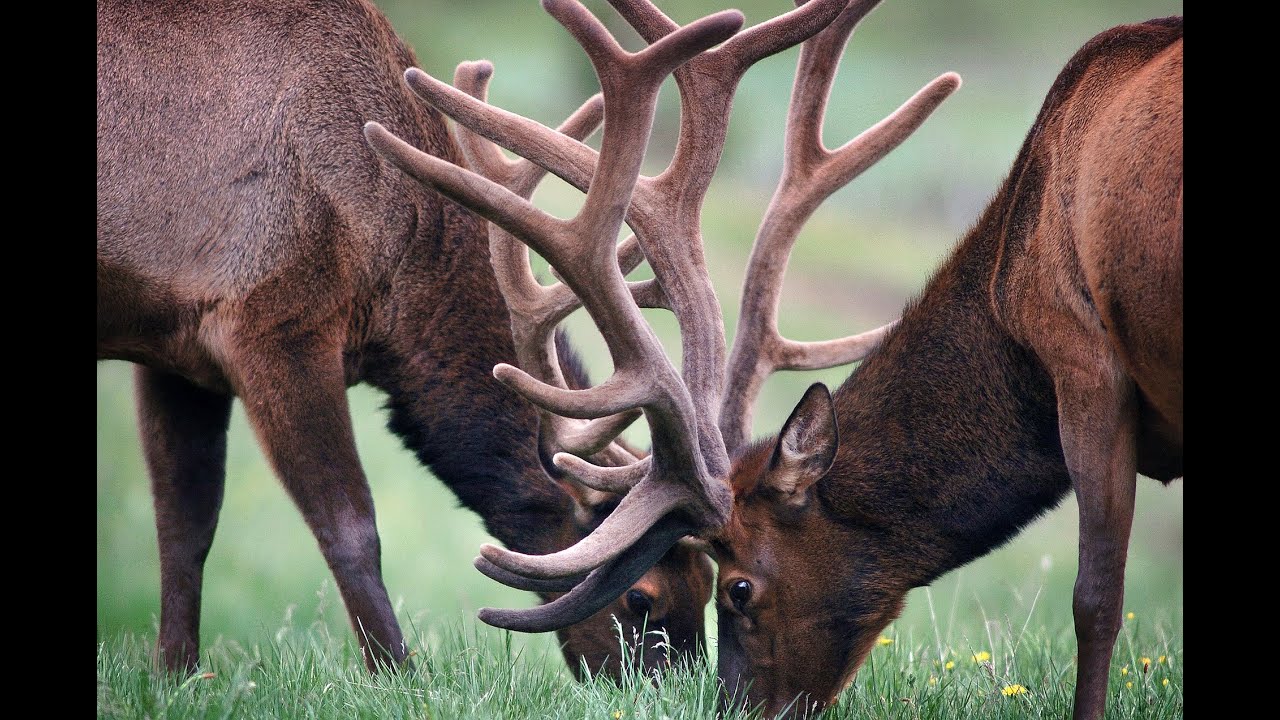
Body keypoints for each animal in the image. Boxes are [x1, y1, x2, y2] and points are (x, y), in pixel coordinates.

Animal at [96, 0, 733, 681]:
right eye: (642, 598)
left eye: (707, 581)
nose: (676, 690)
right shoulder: (270, 321)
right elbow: (350, 527)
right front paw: (397, 674)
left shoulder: (176, 345)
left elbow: (183, 526)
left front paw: (175, 675)